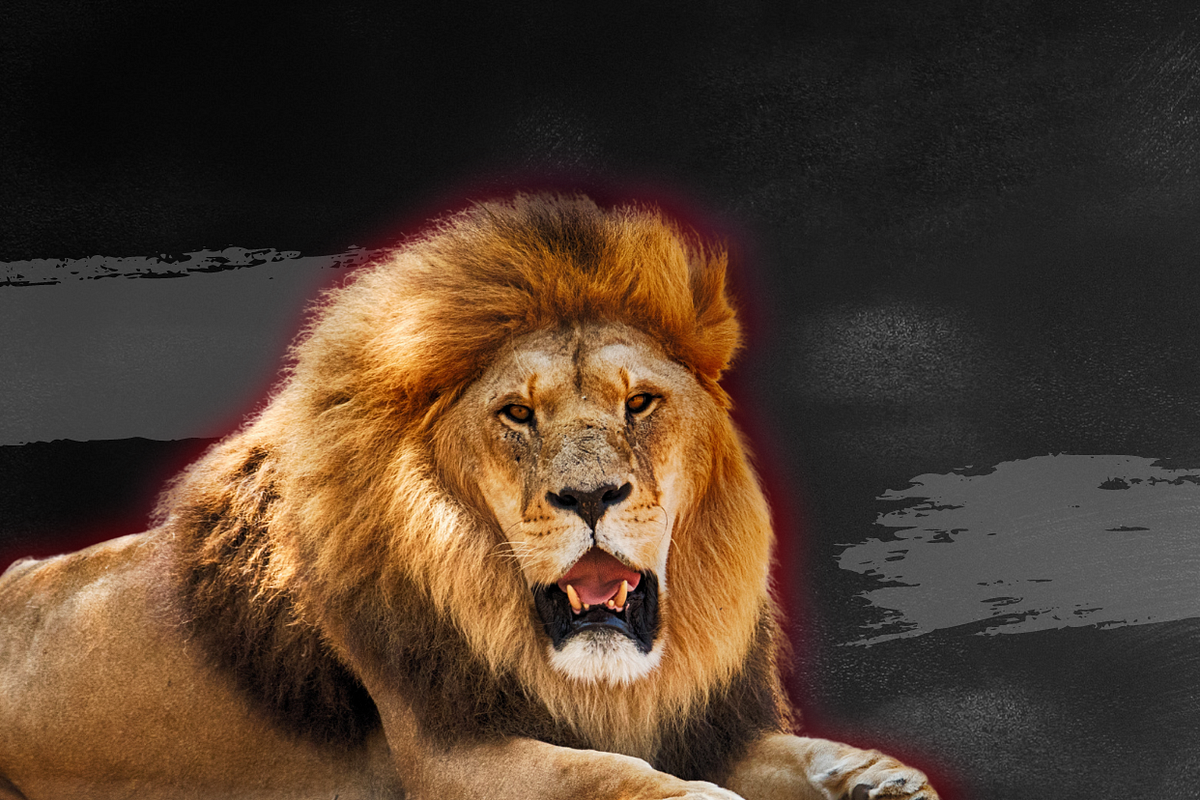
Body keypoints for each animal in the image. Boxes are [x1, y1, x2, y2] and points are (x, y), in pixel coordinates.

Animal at [0, 195, 939, 800]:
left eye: (640, 403)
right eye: (517, 413)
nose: (591, 495)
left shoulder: (686, 721)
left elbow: (785, 751)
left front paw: (876, 776)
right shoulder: (448, 755)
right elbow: (598, 774)